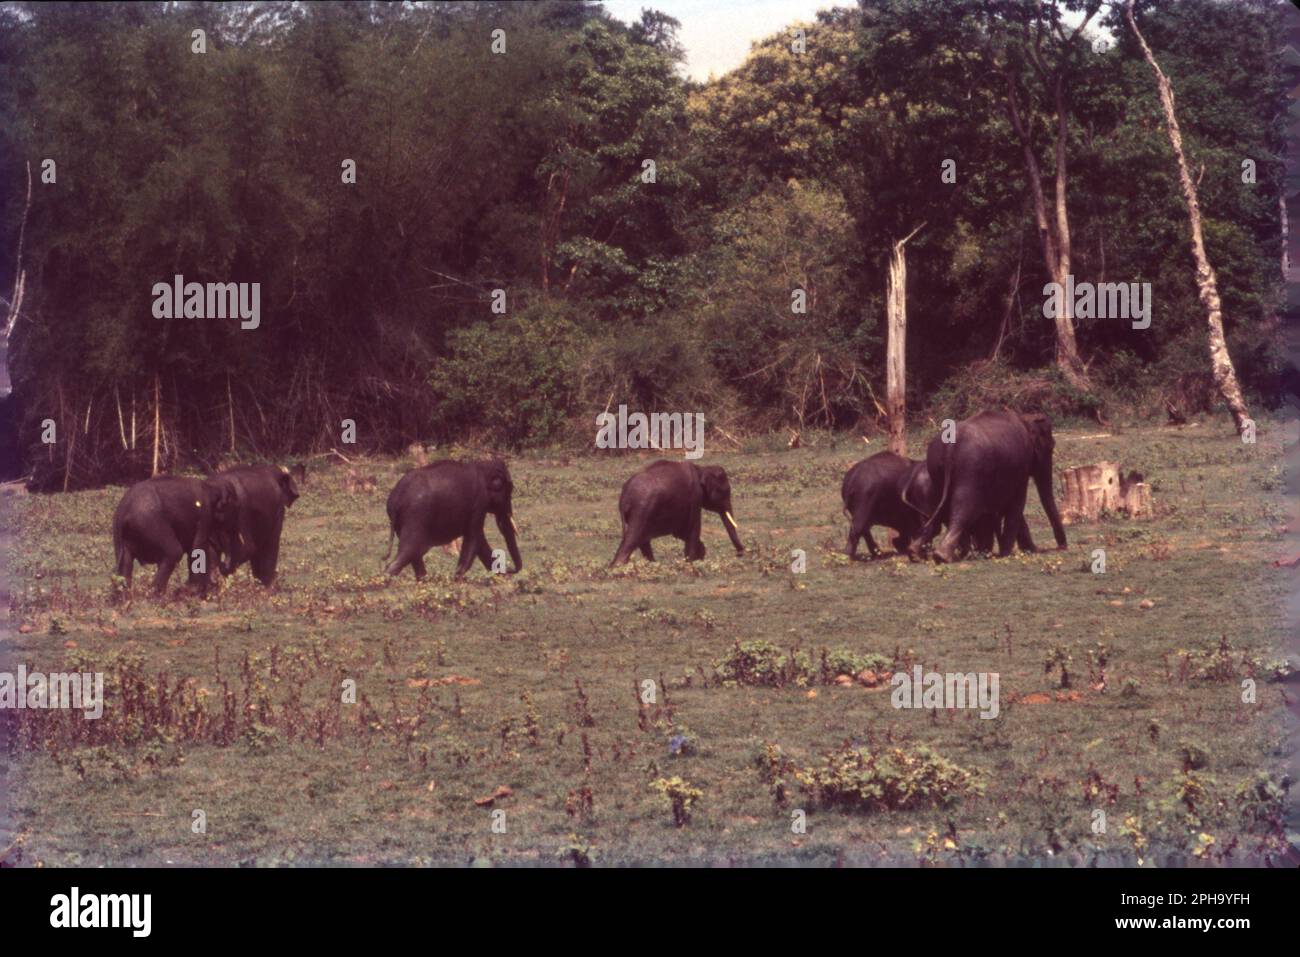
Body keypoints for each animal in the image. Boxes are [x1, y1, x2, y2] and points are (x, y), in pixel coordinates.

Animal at [383, 459, 521, 580]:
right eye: (509, 490)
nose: (509, 570)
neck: (482, 465)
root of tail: (395, 499)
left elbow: (479, 540)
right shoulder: (479, 501)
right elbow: (474, 536)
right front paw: (457, 579)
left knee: (414, 554)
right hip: (416, 515)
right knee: (410, 550)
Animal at [611, 460, 743, 565]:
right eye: (726, 491)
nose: (739, 554)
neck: (701, 468)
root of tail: (625, 494)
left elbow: (680, 533)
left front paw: (698, 557)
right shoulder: (695, 497)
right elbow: (692, 529)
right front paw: (691, 563)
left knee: (641, 541)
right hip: (642, 510)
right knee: (633, 539)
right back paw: (619, 567)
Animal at [908, 410, 1068, 564]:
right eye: (1052, 446)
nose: (1061, 547)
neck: (1025, 417)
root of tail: (951, 445)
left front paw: (1026, 550)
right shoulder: (1022, 464)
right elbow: (1017, 503)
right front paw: (1005, 554)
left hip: (936, 469)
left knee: (941, 508)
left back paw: (916, 553)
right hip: (970, 469)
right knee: (962, 508)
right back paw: (944, 556)